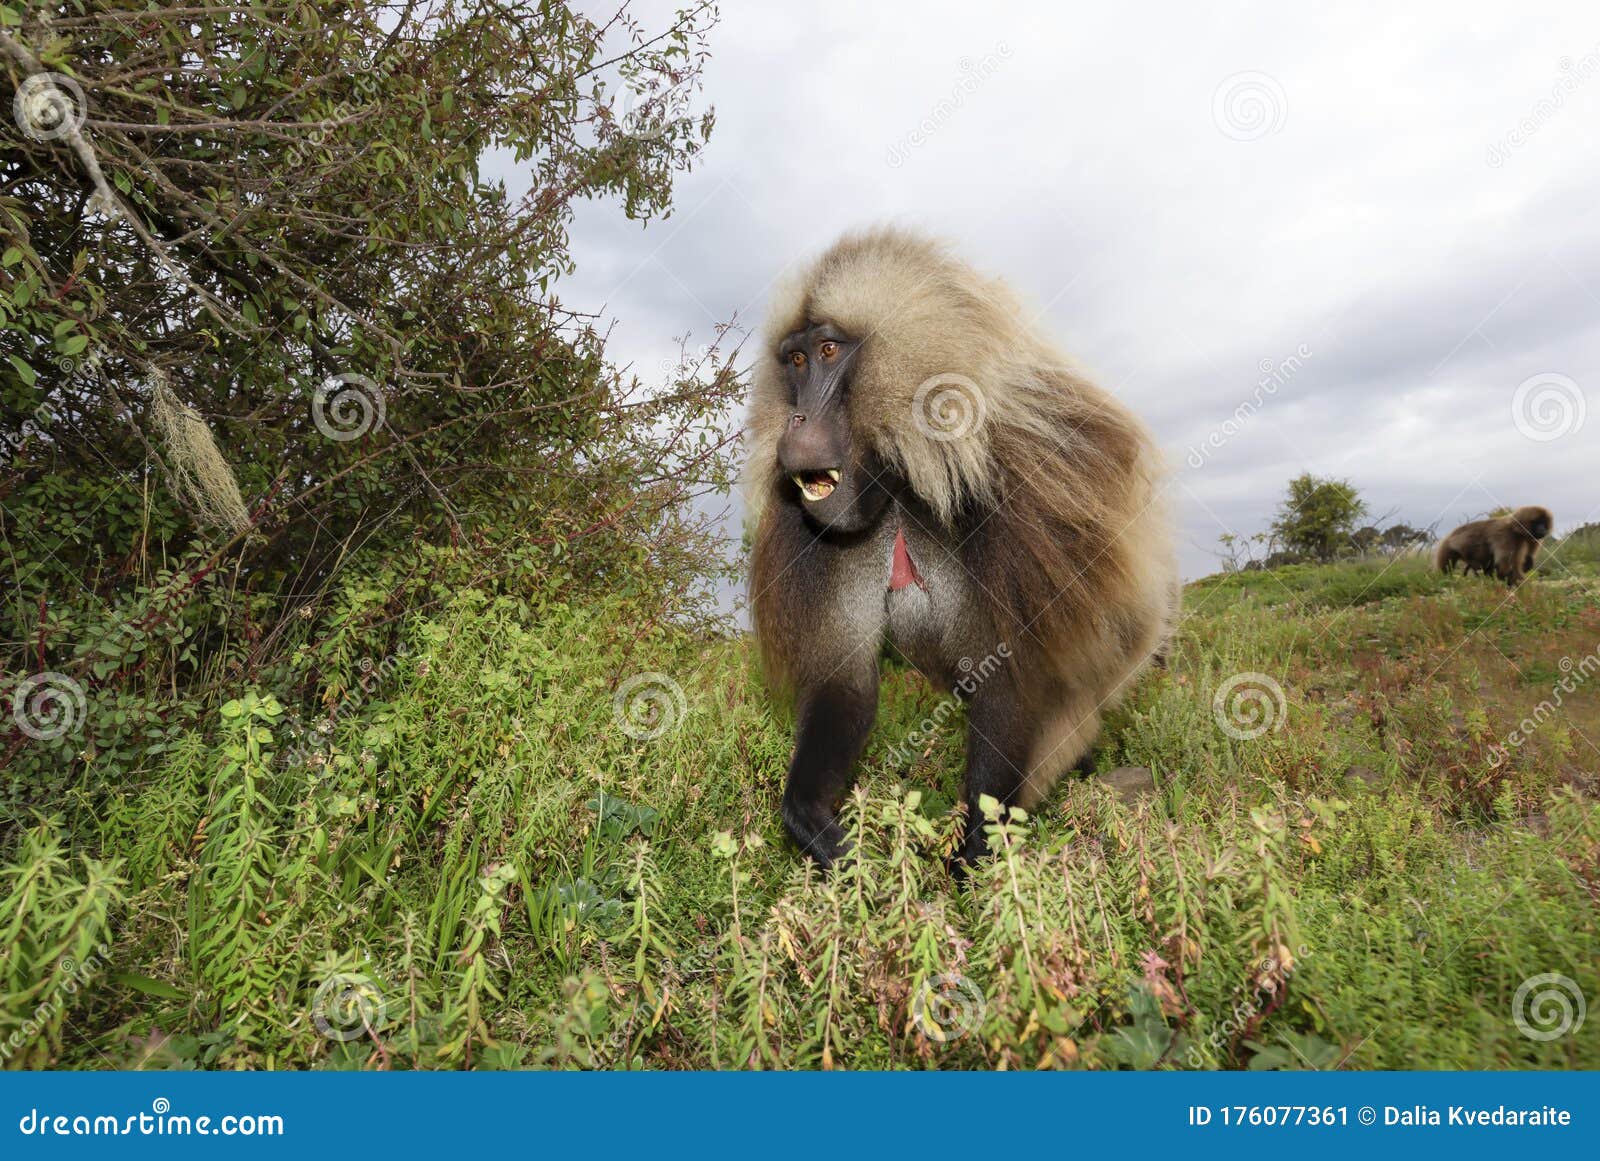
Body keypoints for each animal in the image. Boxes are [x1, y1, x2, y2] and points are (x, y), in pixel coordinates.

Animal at [746, 228, 1178, 869]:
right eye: (795, 361)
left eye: (827, 351)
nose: (795, 420)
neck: (900, 484)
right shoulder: (824, 537)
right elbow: (845, 684)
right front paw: (824, 833)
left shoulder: (1014, 495)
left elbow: (1009, 676)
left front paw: (976, 859)